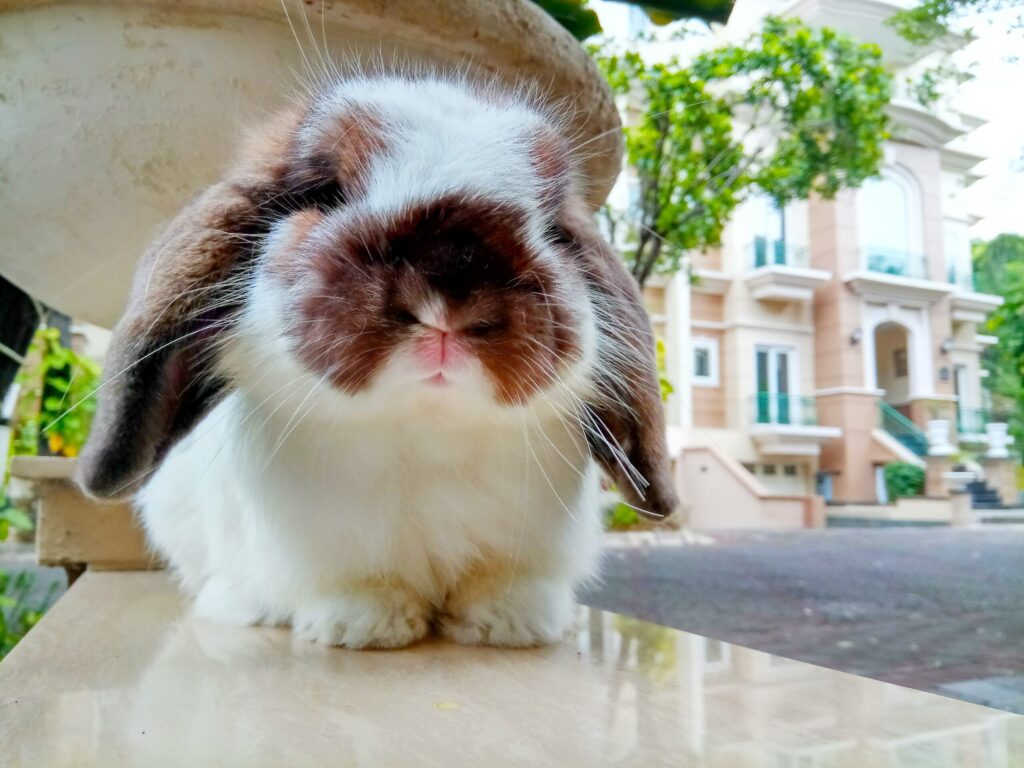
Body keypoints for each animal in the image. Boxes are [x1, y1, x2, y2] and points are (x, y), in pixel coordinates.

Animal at [77, 72, 677, 649]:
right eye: (325, 192)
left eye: (553, 227)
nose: (449, 292)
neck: (426, 429)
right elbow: (355, 585)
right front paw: (364, 627)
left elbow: (500, 582)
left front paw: (509, 626)